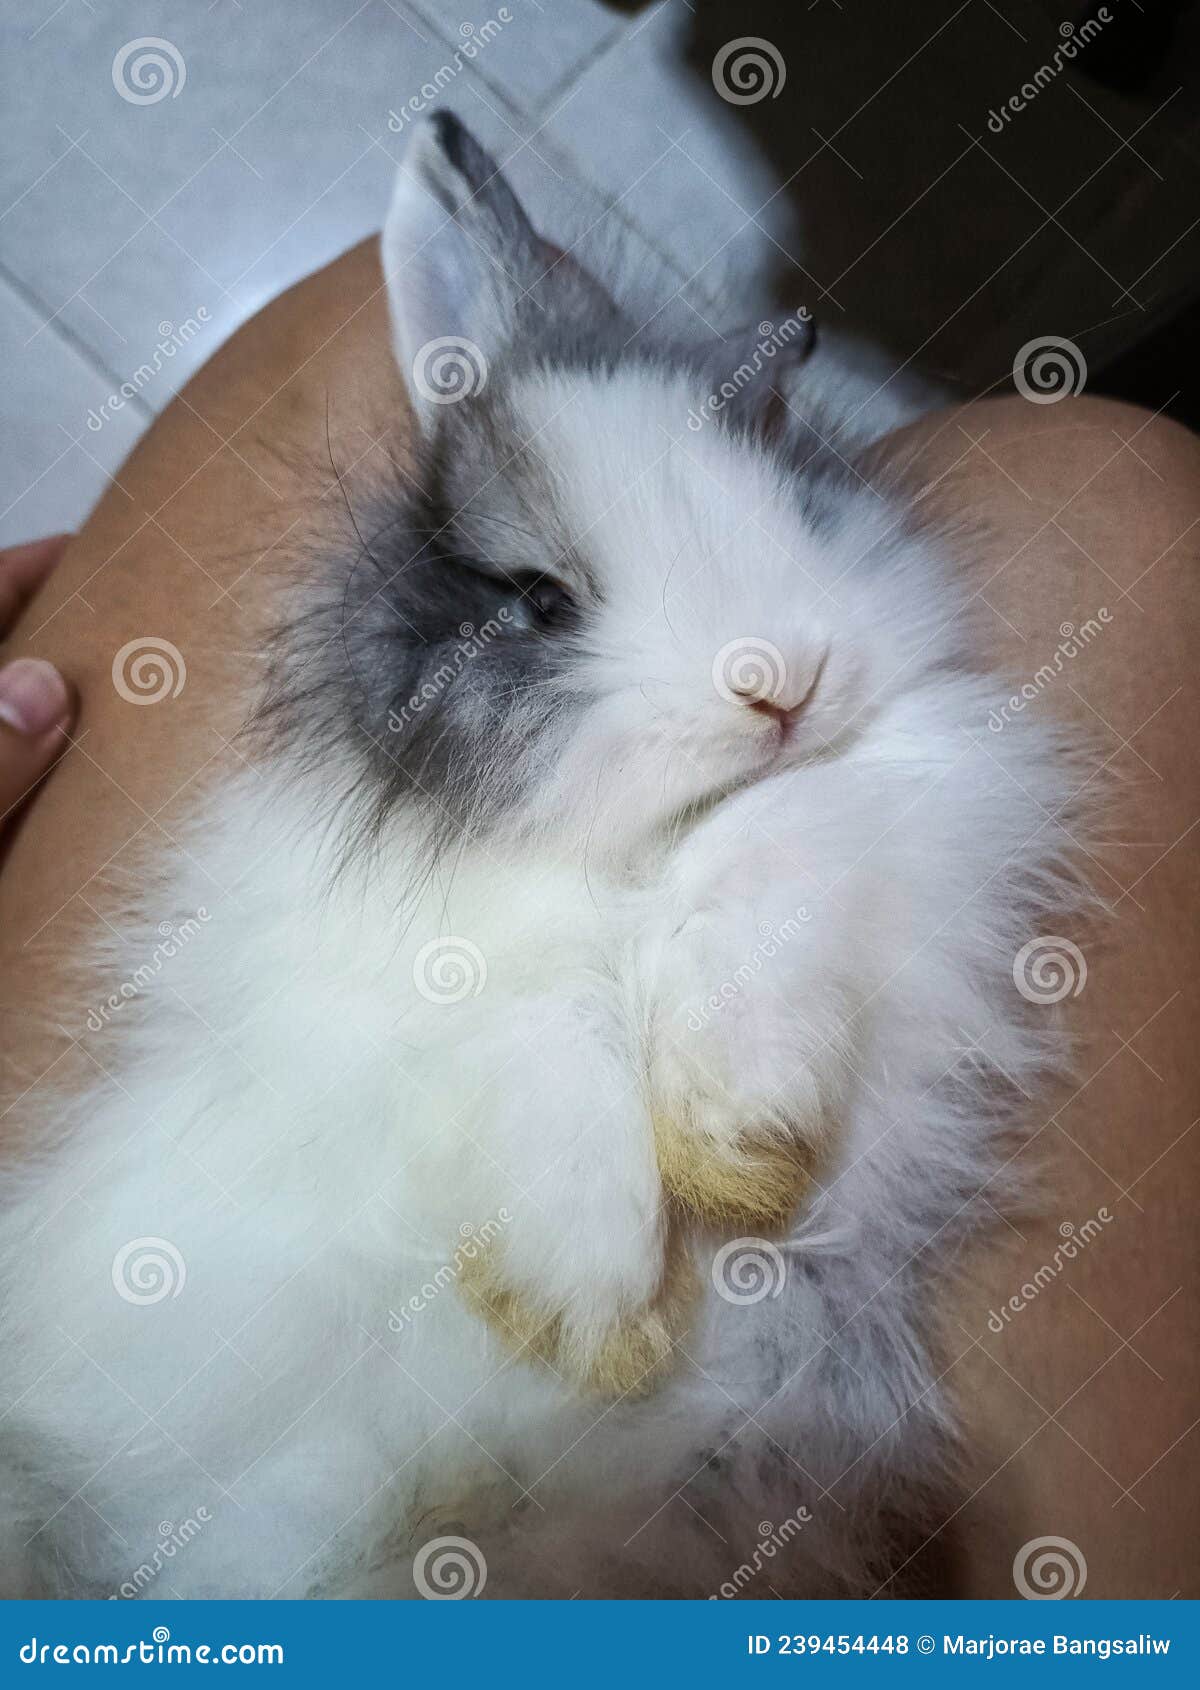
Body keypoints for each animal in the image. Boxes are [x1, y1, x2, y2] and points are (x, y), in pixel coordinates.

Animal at [0, 112, 1094, 1600]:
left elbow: (750, 886)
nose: (783, 682)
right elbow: (542, 1037)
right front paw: (596, 1317)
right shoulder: (412, 982)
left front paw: (738, 1157)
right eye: (535, 600)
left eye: (788, 486)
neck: (621, 855)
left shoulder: (859, 825)